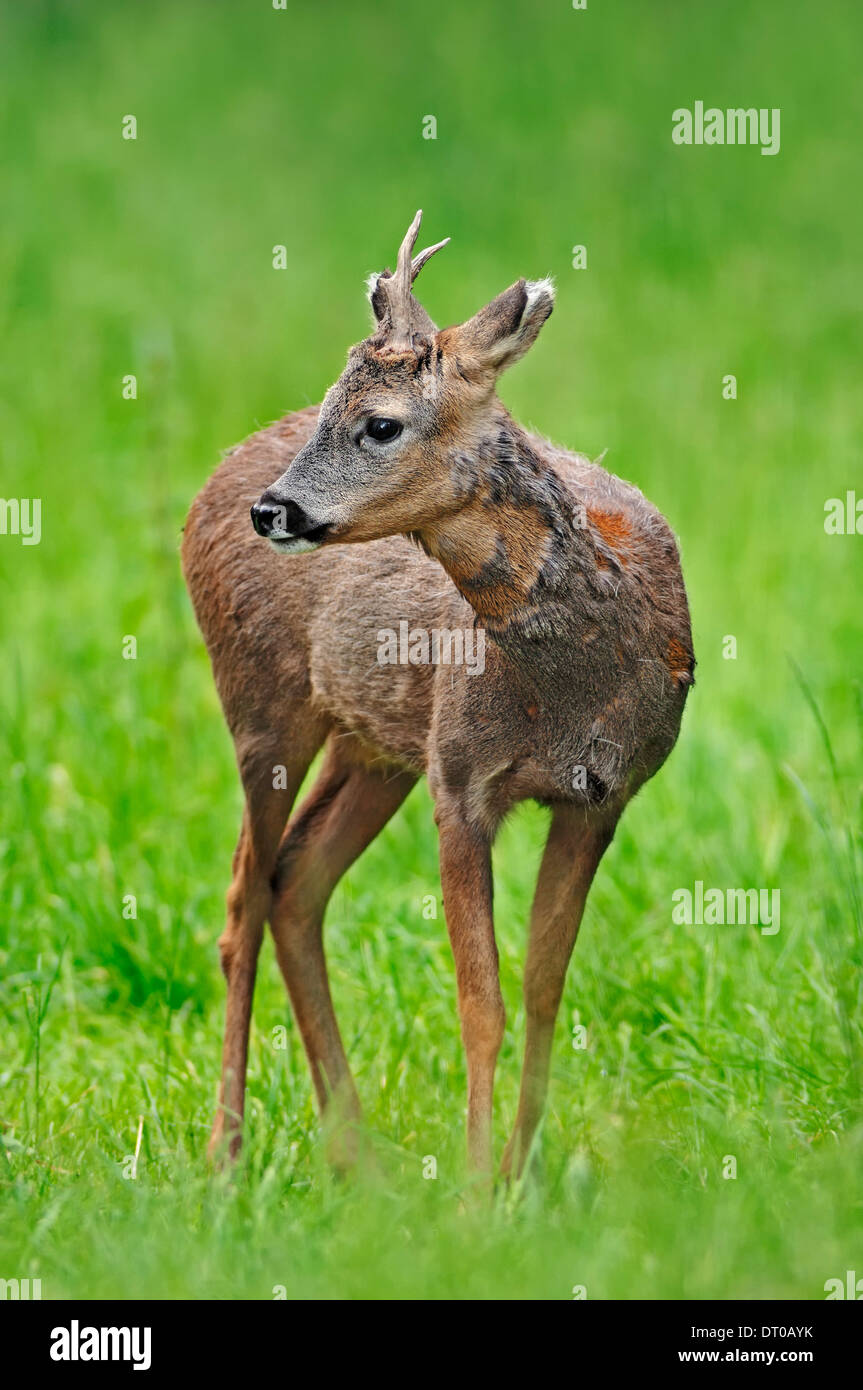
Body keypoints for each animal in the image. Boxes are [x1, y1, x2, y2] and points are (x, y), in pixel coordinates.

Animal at [181, 210, 695, 1178]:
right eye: (331, 402)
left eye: (379, 424)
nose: (273, 511)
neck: (572, 684)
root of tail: (214, 480)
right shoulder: (460, 779)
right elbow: (479, 1006)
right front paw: (475, 1188)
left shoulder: (602, 795)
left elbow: (542, 988)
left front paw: (520, 1176)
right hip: (261, 700)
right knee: (240, 904)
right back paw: (226, 1157)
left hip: (376, 743)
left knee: (294, 880)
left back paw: (357, 1160)